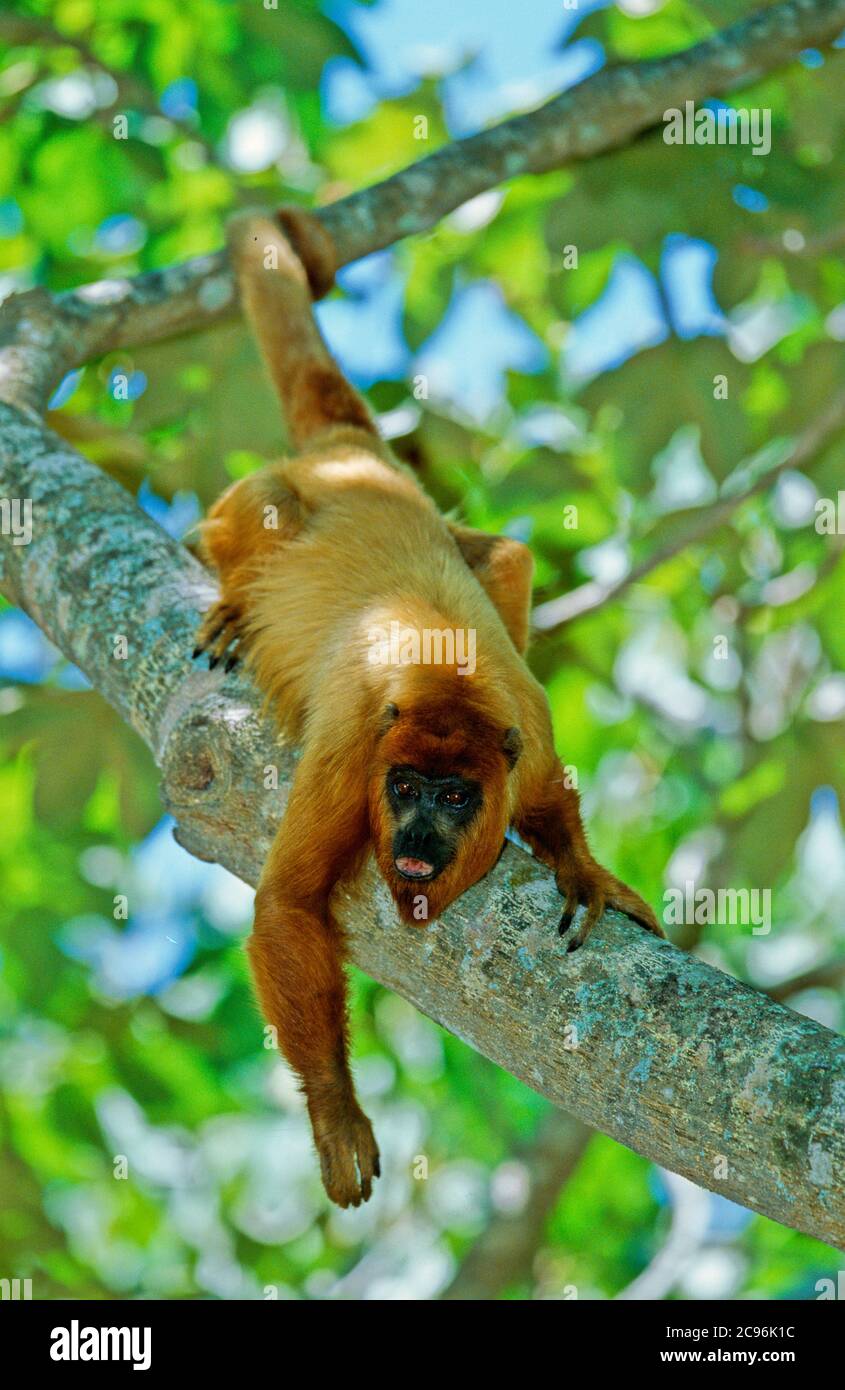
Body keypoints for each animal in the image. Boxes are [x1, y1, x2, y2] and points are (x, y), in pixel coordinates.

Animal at [194, 206, 664, 1209]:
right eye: (405, 788)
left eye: (454, 798)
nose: (413, 838)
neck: (449, 689)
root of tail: (355, 458)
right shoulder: (349, 752)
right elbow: (287, 906)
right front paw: (335, 1111)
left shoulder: (531, 734)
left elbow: (551, 802)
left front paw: (579, 866)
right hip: (261, 501)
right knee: (254, 515)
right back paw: (233, 600)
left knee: (508, 556)